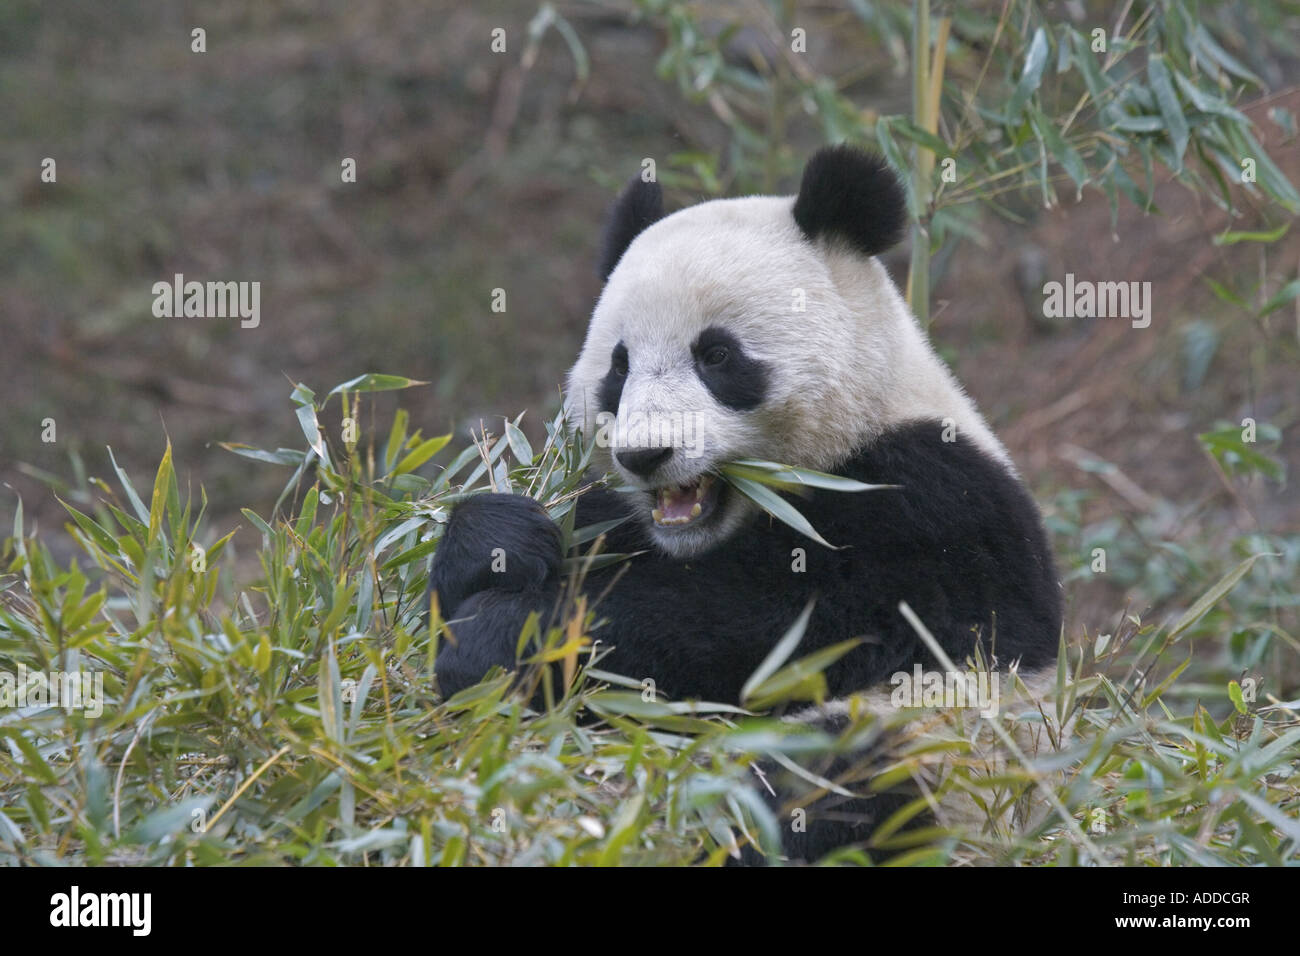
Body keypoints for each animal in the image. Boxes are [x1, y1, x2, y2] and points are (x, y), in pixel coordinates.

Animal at [428, 145, 1063, 862]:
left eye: (717, 354)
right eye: (619, 366)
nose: (645, 454)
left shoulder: (932, 508)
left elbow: (755, 628)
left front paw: (497, 643)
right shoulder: (635, 527)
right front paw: (502, 542)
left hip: (949, 760)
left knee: (832, 788)